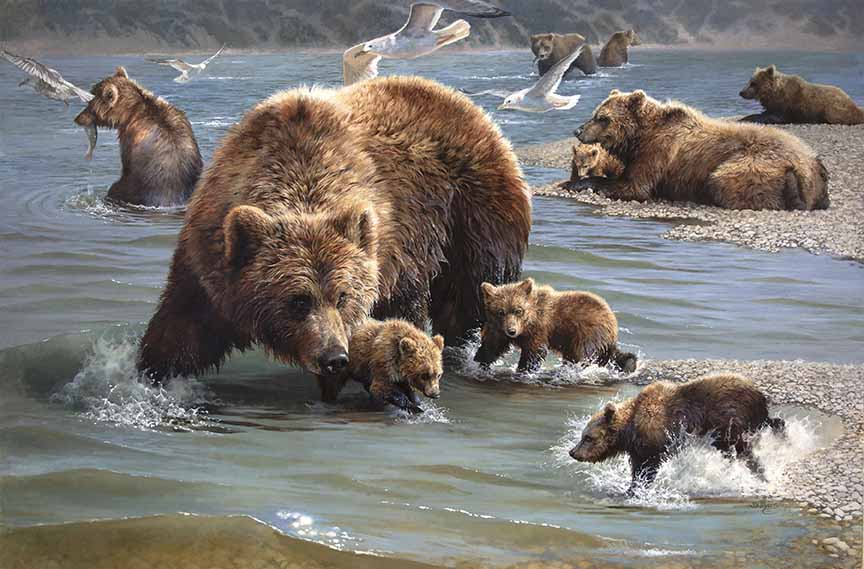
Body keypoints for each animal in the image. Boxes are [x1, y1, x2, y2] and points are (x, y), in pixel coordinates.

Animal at [136, 76, 531, 401]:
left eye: (343, 296)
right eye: (297, 300)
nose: (334, 357)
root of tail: (465, 104)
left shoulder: (397, 253)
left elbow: (401, 319)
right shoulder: (207, 259)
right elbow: (180, 331)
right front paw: (153, 379)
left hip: (475, 213)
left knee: (470, 294)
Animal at [474, 278, 637, 373]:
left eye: (518, 310)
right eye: (500, 312)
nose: (512, 331)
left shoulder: (539, 329)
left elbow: (535, 351)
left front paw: (523, 369)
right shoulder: (499, 329)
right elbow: (493, 346)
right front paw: (479, 359)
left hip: (588, 334)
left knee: (581, 355)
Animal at [569, 373, 786, 495]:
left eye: (588, 437)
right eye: (582, 435)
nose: (573, 452)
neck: (630, 430)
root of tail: (758, 394)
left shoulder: (655, 441)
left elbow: (648, 468)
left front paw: (636, 488)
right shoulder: (638, 449)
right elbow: (638, 469)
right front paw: (631, 486)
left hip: (730, 420)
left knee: (744, 449)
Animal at [571, 89, 830, 210]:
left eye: (602, 118)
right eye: (595, 113)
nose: (578, 130)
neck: (639, 136)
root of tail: (809, 165)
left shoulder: (658, 151)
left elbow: (635, 186)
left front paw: (579, 183)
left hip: (750, 165)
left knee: (725, 182)